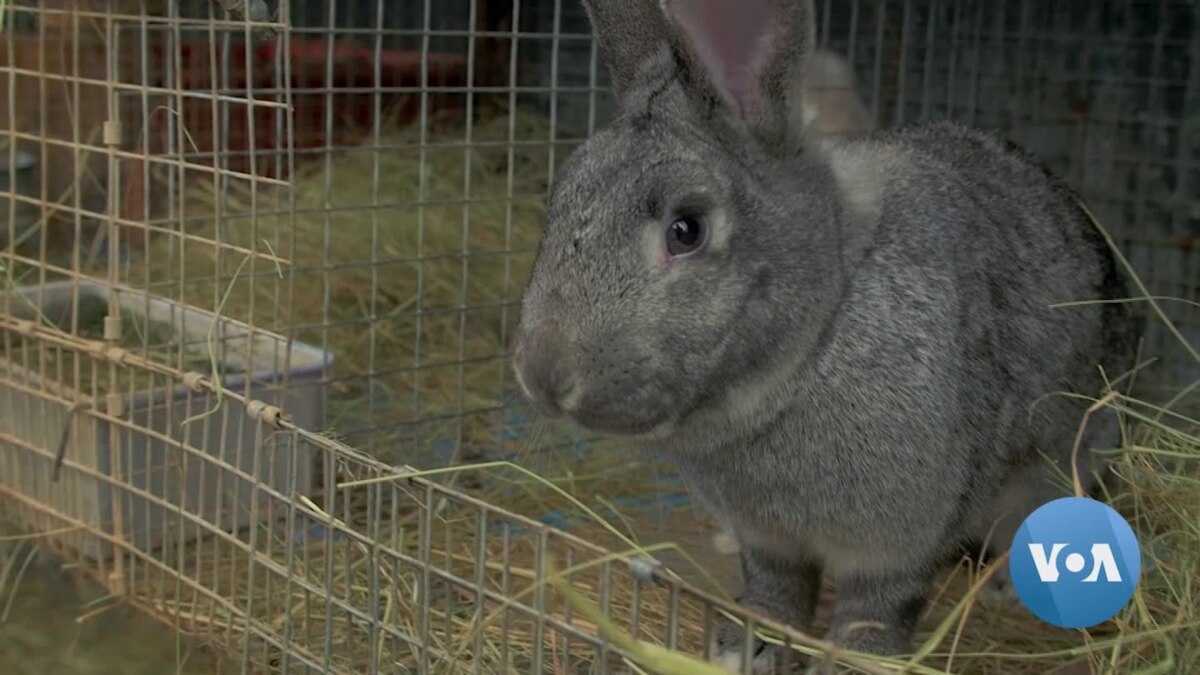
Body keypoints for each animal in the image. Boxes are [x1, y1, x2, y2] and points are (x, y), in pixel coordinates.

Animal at [511, 0, 1139, 672]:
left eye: (686, 229)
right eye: (558, 201)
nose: (542, 377)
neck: (813, 342)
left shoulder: (898, 538)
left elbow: (876, 608)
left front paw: (854, 659)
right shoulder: (767, 540)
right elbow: (778, 592)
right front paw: (748, 645)